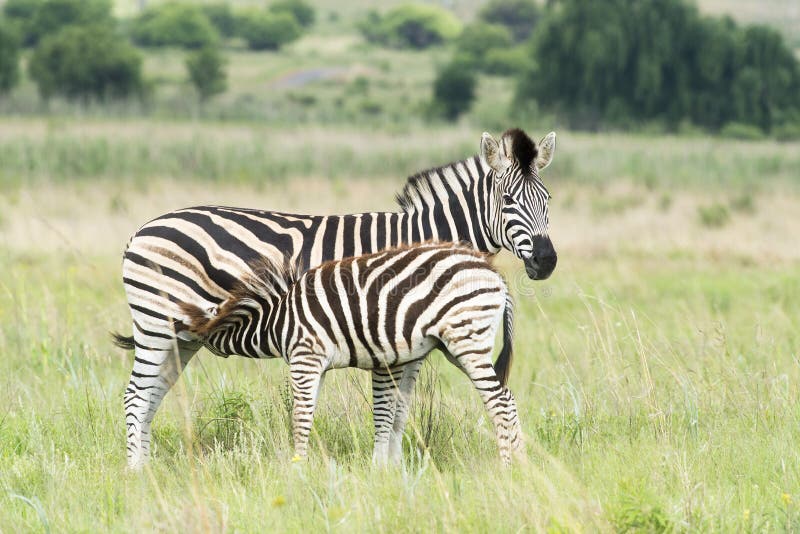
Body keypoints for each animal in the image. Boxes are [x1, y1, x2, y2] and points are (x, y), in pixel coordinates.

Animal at [178, 242, 523, 465]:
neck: (277, 319)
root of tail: (495, 275)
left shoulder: (305, 356)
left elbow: (300, 416)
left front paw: (296, 468)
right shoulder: (316, 365)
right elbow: (310, 413)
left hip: (466, 339)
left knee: (497, 401)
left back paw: (505, 466)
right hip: (458, 345)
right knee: (507, 397)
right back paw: (521, 465)